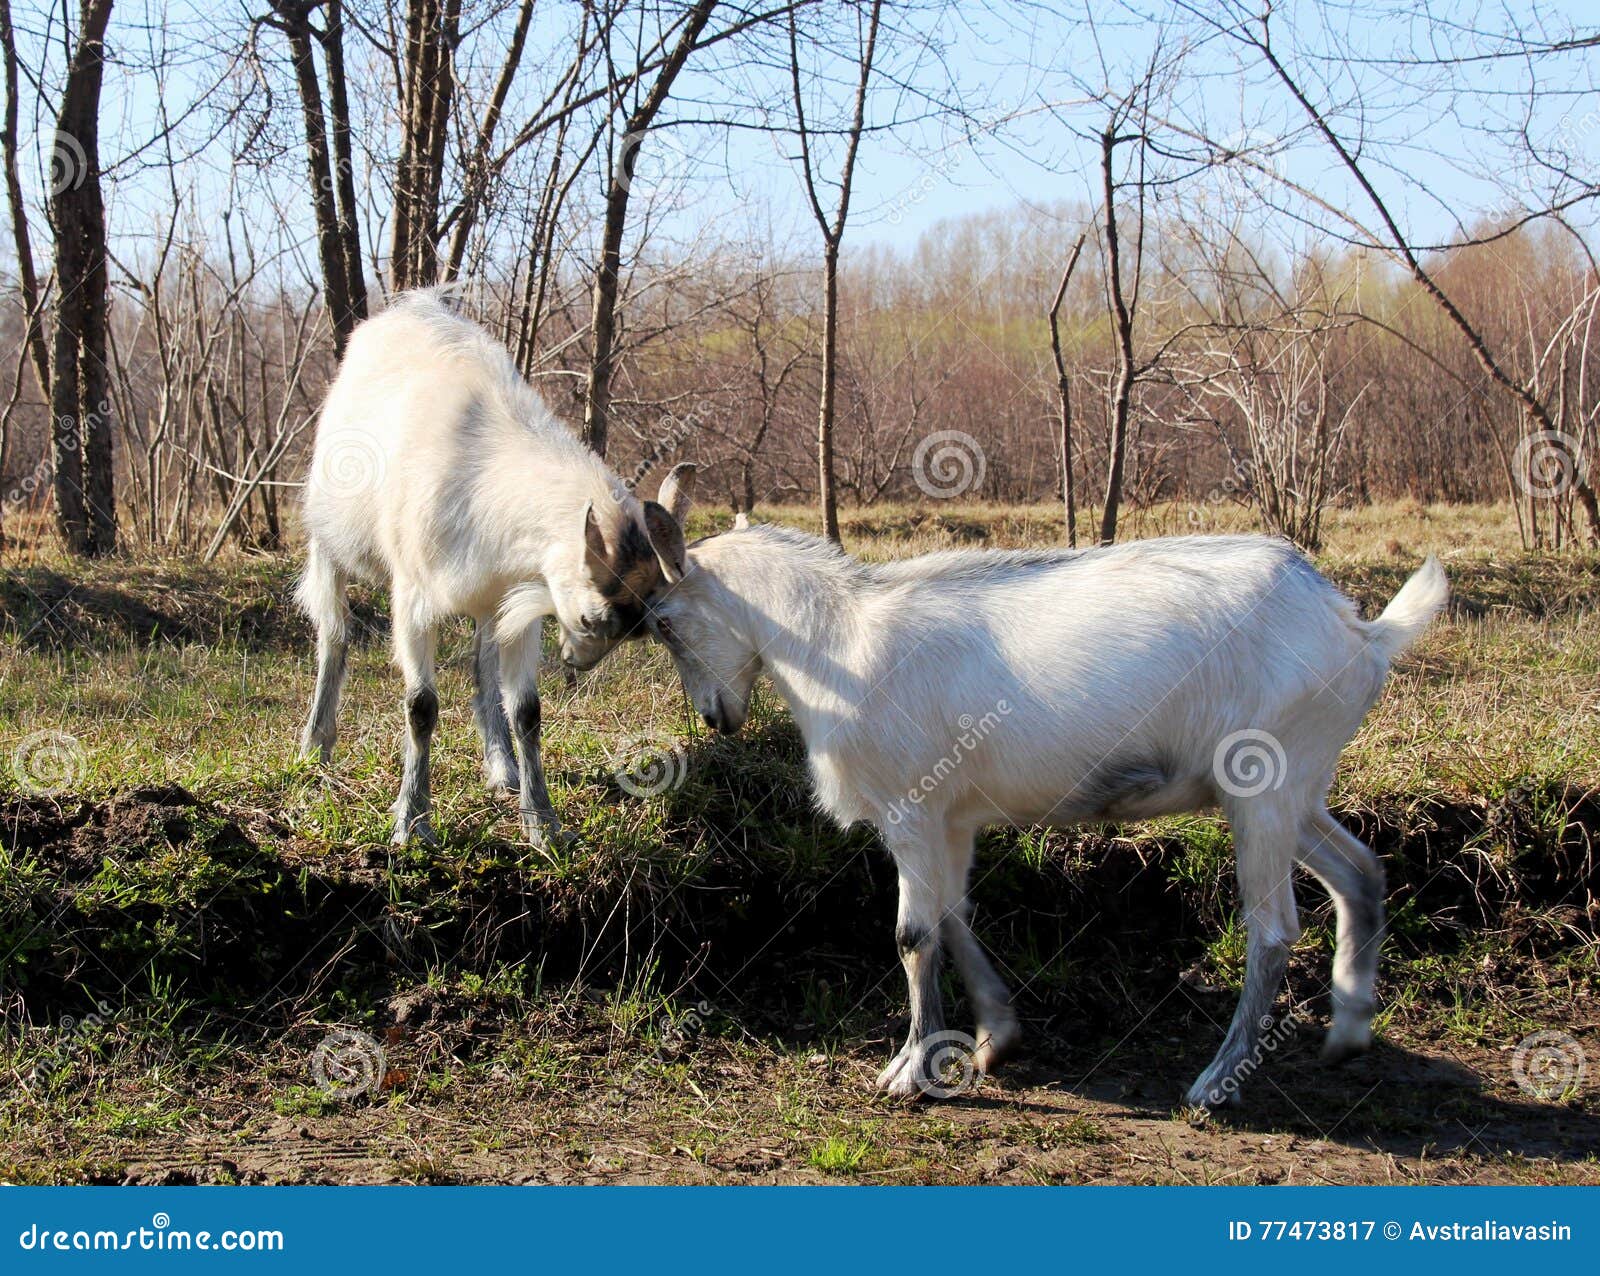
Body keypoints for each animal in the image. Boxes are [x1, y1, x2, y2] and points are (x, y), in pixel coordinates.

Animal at [296, 289, 690, 846]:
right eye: (591, 619)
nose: (574, 664)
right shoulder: (412, 597)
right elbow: (420, 705)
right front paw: (411, 820)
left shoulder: (520, 602)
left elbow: (526, 710)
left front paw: (542, 822)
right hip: (327, 537)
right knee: (334, 634)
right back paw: (315, 746)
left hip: (488, 603)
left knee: (481, 670)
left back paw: (501, 768)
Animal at [640, 502, 1448, 1107]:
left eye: (665, 623)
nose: (714, 717)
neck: (838, 638)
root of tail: (1361, 631)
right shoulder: (952, 817)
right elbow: (953, 916)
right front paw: (996, 1037)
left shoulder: (910, 811)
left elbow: (911, 934)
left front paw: (911, 1069)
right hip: (1295, 791)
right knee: (1360, 872)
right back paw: (1347, 1033)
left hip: (1264, 792)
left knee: (1274, 931)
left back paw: (1218, 1082)